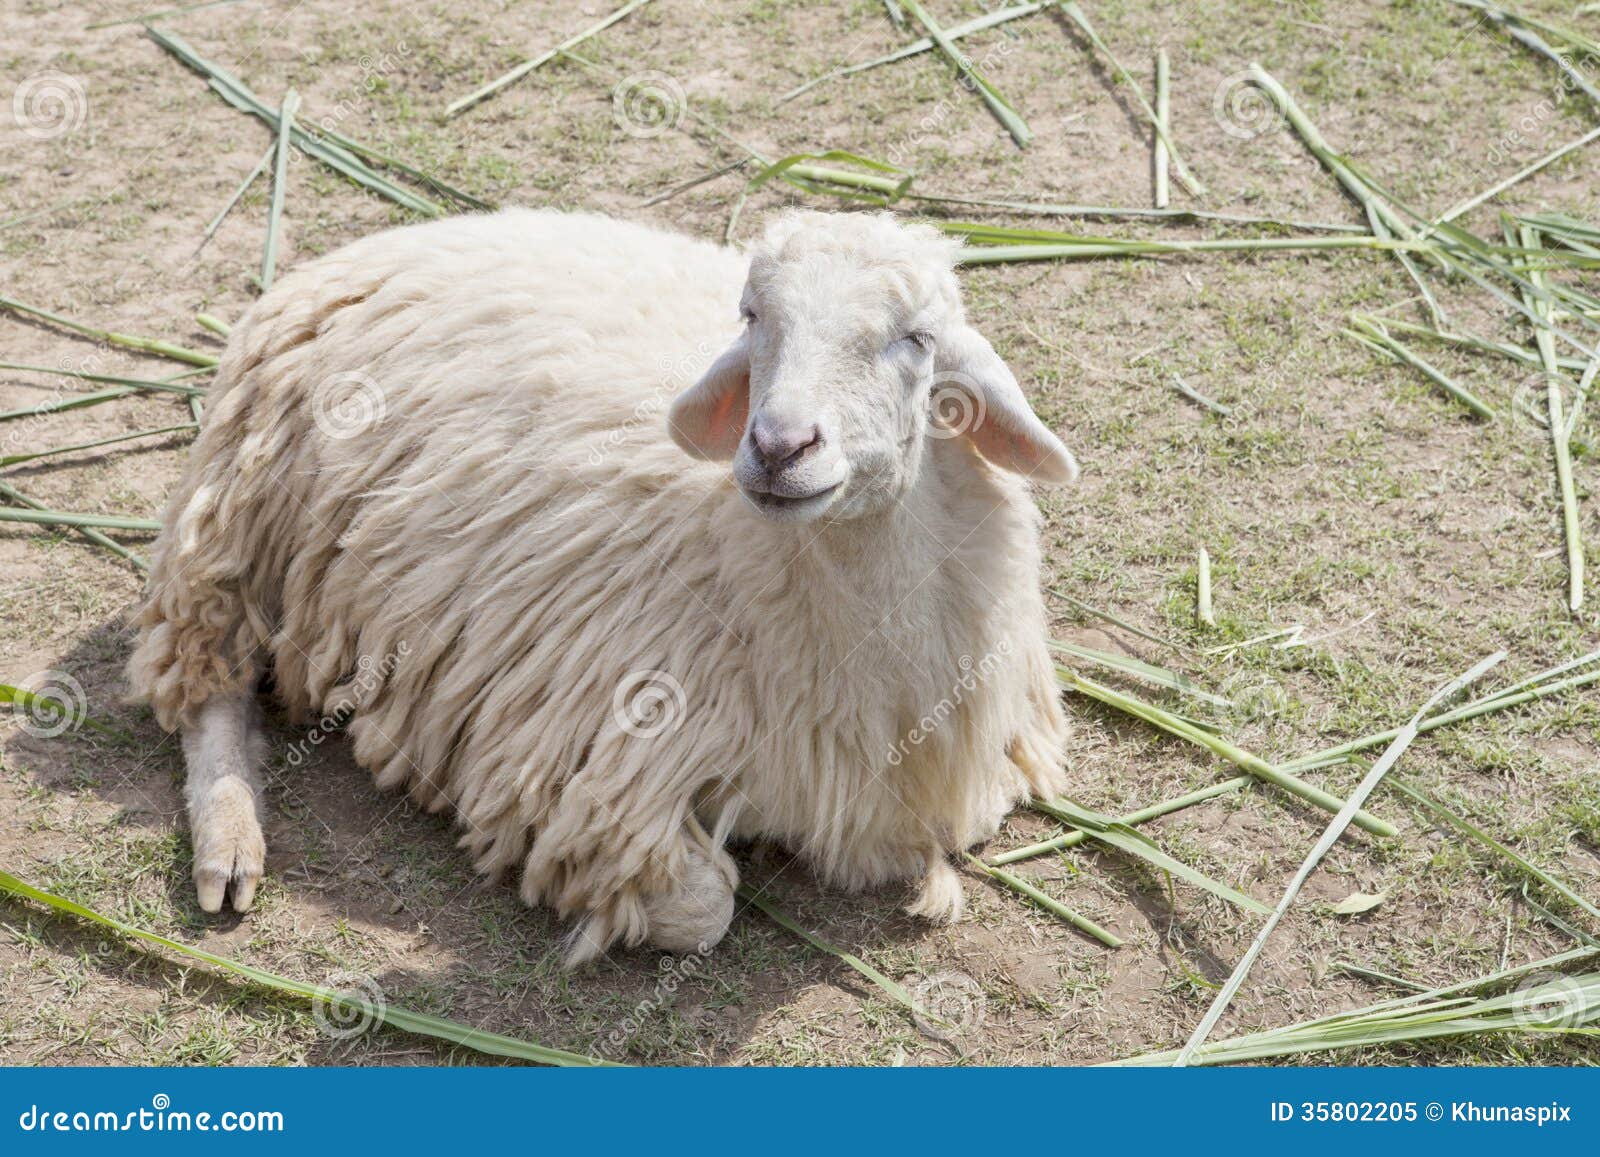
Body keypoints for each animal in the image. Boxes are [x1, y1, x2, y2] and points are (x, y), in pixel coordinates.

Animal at [126, 207, 1079, 963]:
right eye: (753, 315)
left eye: (915, 338)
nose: (778, 447)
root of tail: (386, 239)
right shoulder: (590, 769)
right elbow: (705, 907)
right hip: (239, 515)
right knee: (209, 687)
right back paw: (229, 844)